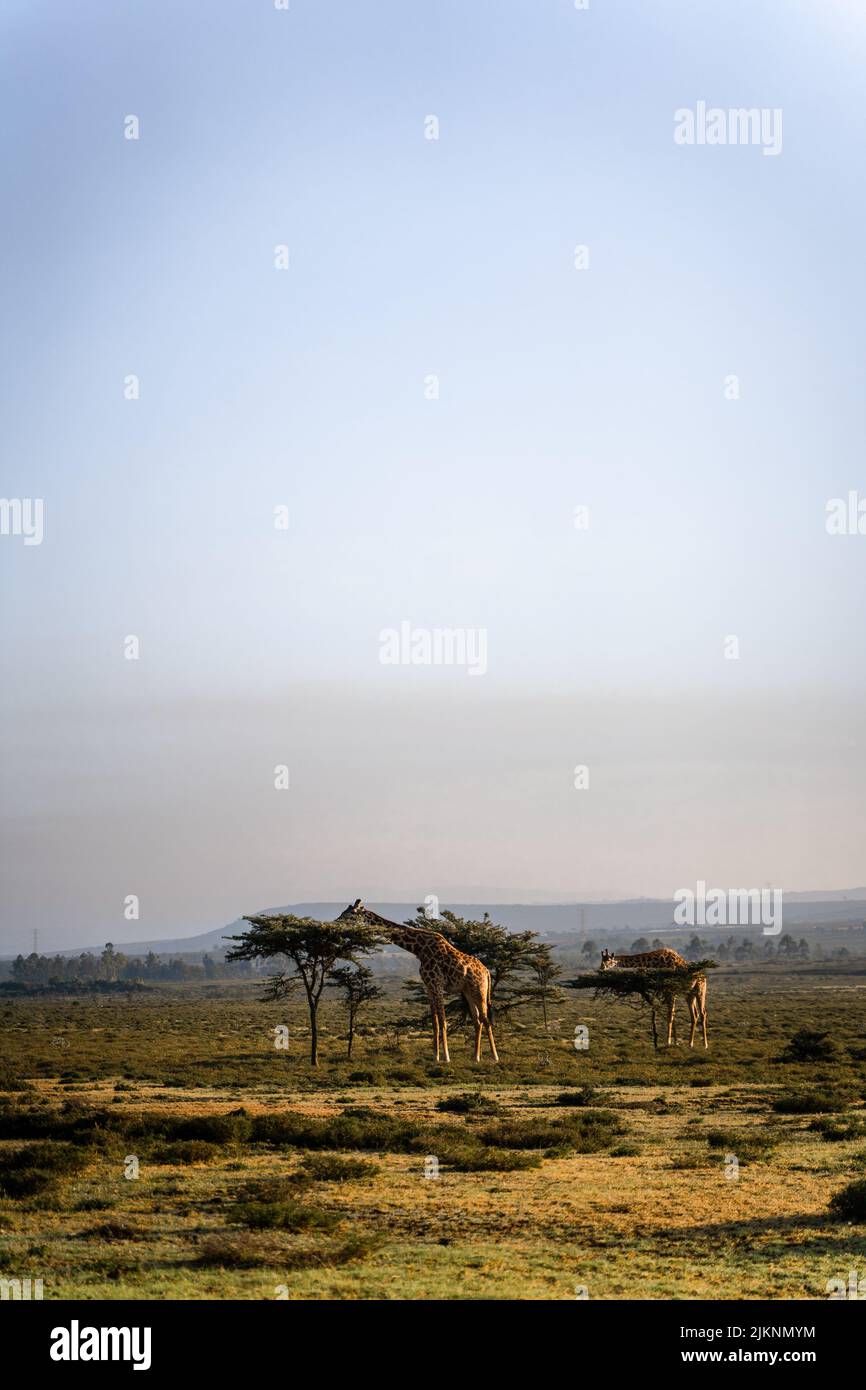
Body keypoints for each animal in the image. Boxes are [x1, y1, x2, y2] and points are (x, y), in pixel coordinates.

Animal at [337, 900, 499, 1063]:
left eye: (350, 914)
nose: (336, 922)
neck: (419, 949)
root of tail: (486, 972)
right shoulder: (429, 987)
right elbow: (435, 1023)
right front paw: (435, 1057)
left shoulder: (437, 985)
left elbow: (443, 1022)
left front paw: (446, 1057)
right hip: (468, 992)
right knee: (477, 1021)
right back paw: (475, 1057)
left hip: (479, 990)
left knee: (486, 1019)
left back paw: (494, 1057)